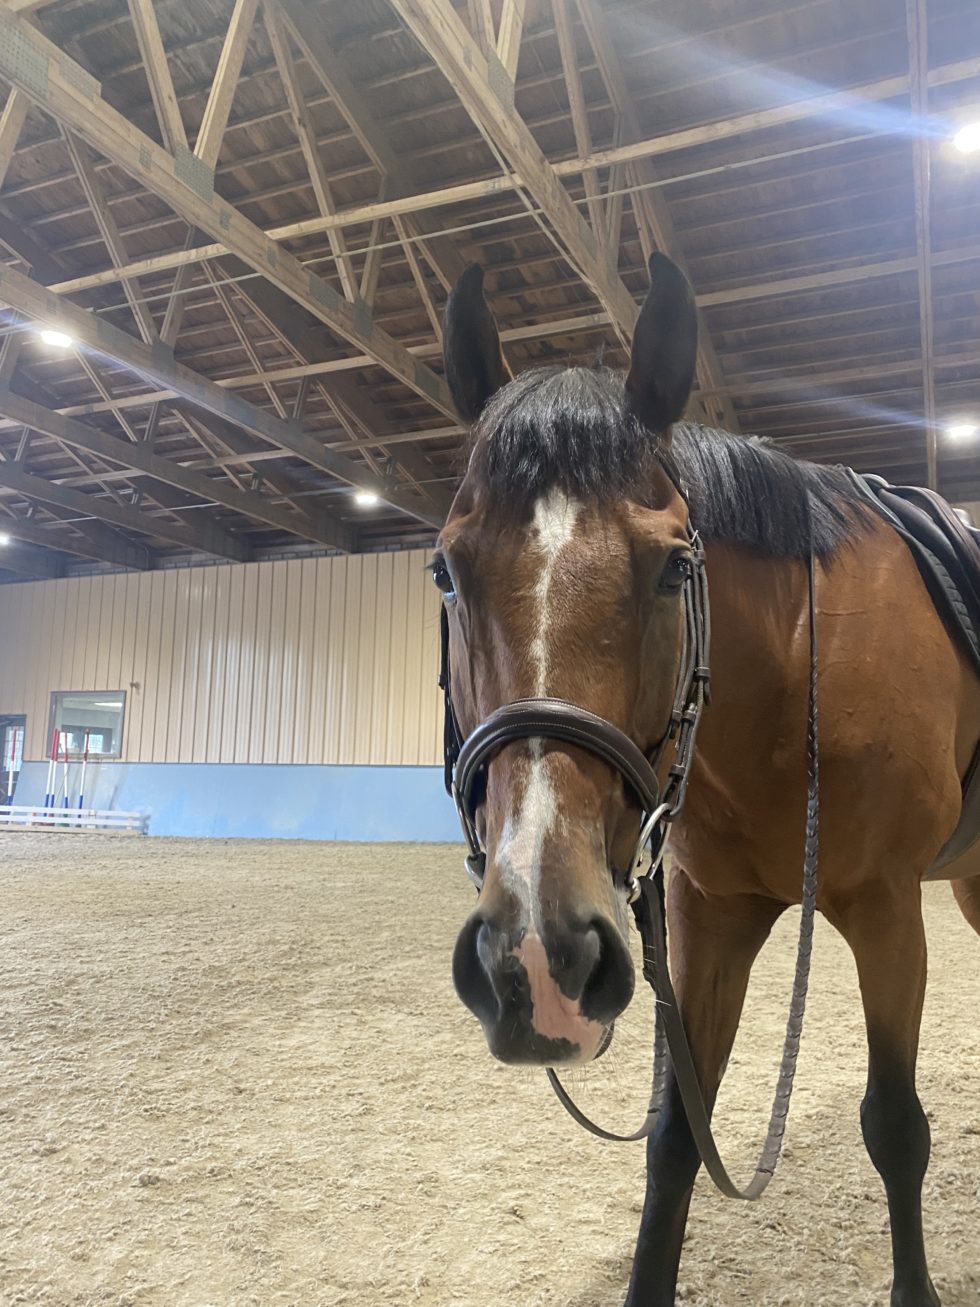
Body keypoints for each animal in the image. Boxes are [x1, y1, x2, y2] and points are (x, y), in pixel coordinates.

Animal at [431, 253, 980, 1306]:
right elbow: (677, 1138)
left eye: (672, 568)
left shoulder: (889, 911)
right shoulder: (709, 918)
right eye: (446, 569)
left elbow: (895, 1127)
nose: (539, 957)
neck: (799, 674)